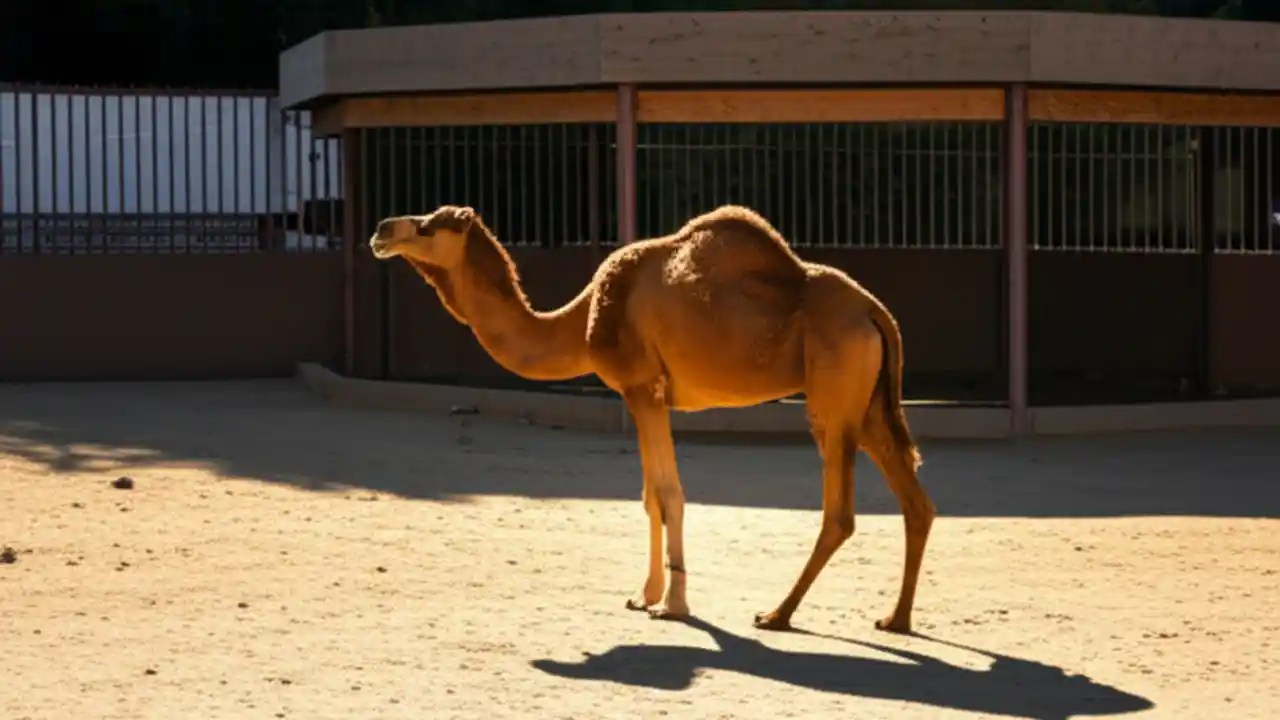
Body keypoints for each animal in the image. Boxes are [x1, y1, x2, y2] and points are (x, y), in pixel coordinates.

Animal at [368, 204, 936, 634]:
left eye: (427, 225)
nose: (380, 230)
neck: (584, 319)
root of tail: (876, 311)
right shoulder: (642, 395)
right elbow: (648, 498)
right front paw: (645, 595)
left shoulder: (644, 387)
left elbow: (668, 495)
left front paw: (673, 604)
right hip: (869, 403)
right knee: (916, 502)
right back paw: (897, 618)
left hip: (833, 396)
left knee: (841, 512)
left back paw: (778, 614)